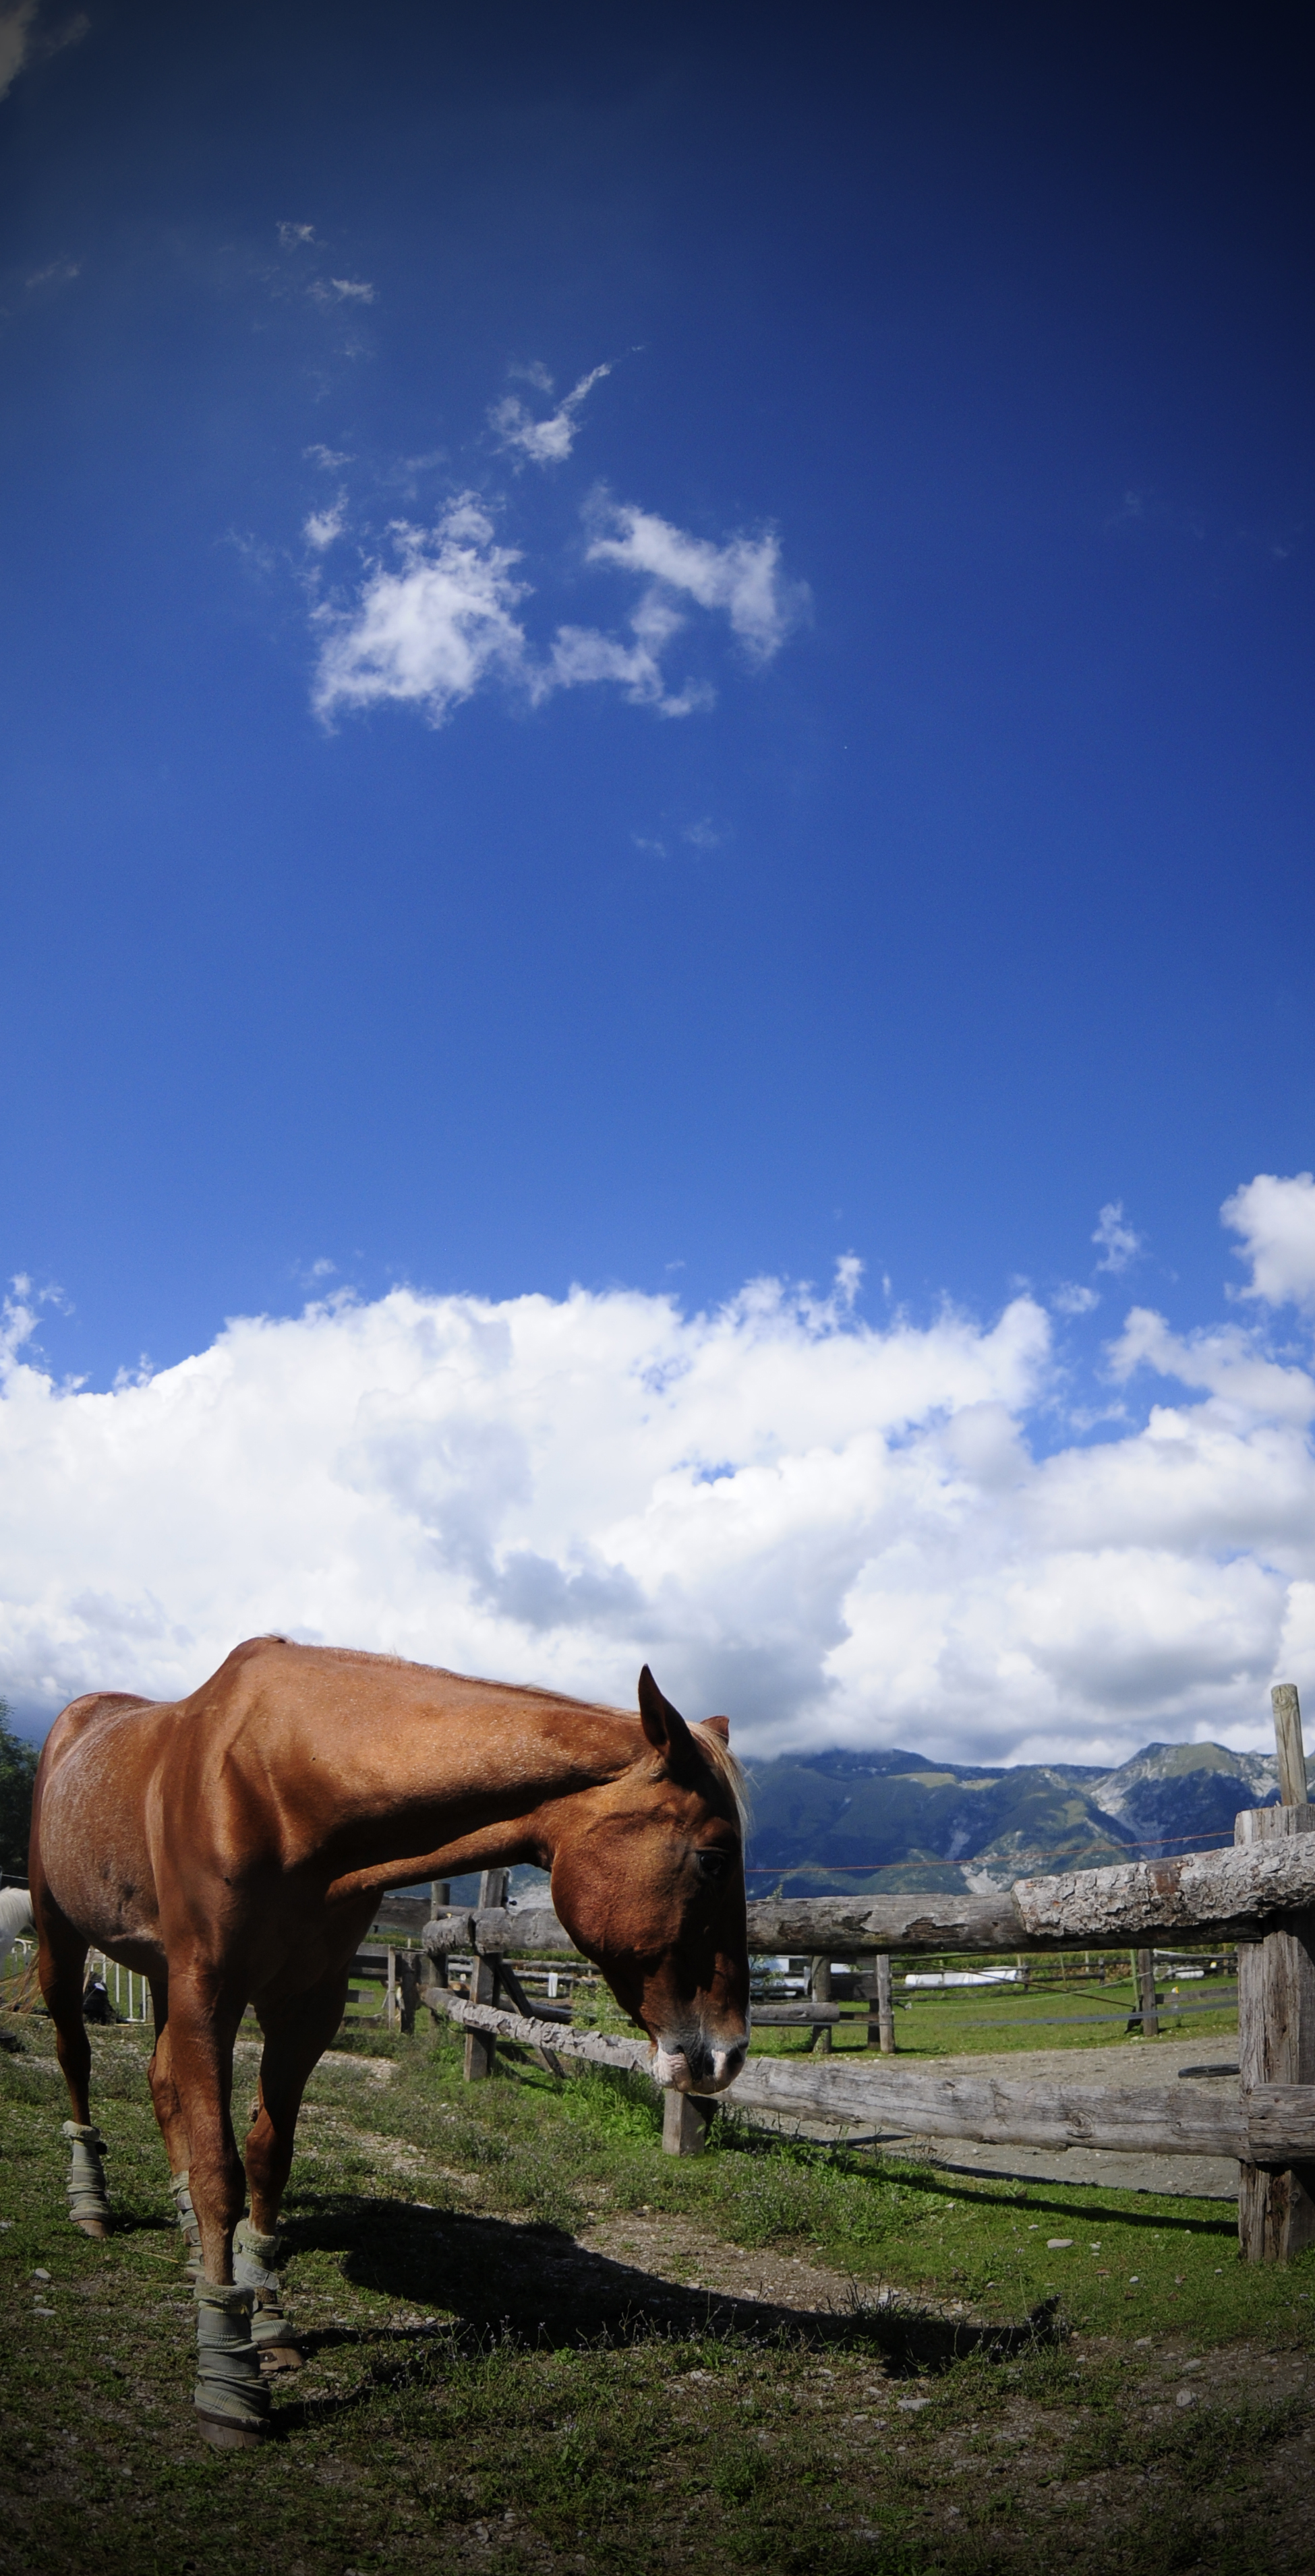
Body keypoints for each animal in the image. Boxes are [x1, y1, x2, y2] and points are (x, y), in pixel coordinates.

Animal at [28, 1636, 750, 2447]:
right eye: (714, 1858)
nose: (725, 2055)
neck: (278, 1779)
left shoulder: (307, 2004)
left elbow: (266, 2158)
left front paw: (265, 2314)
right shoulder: (209, 1990)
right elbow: (221, 2172)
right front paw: (226, 2376)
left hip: (160, 1975)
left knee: (161, 2084)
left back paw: (189, 2242)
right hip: (62, 1939)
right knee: (75, 2055)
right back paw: (91, 2202)